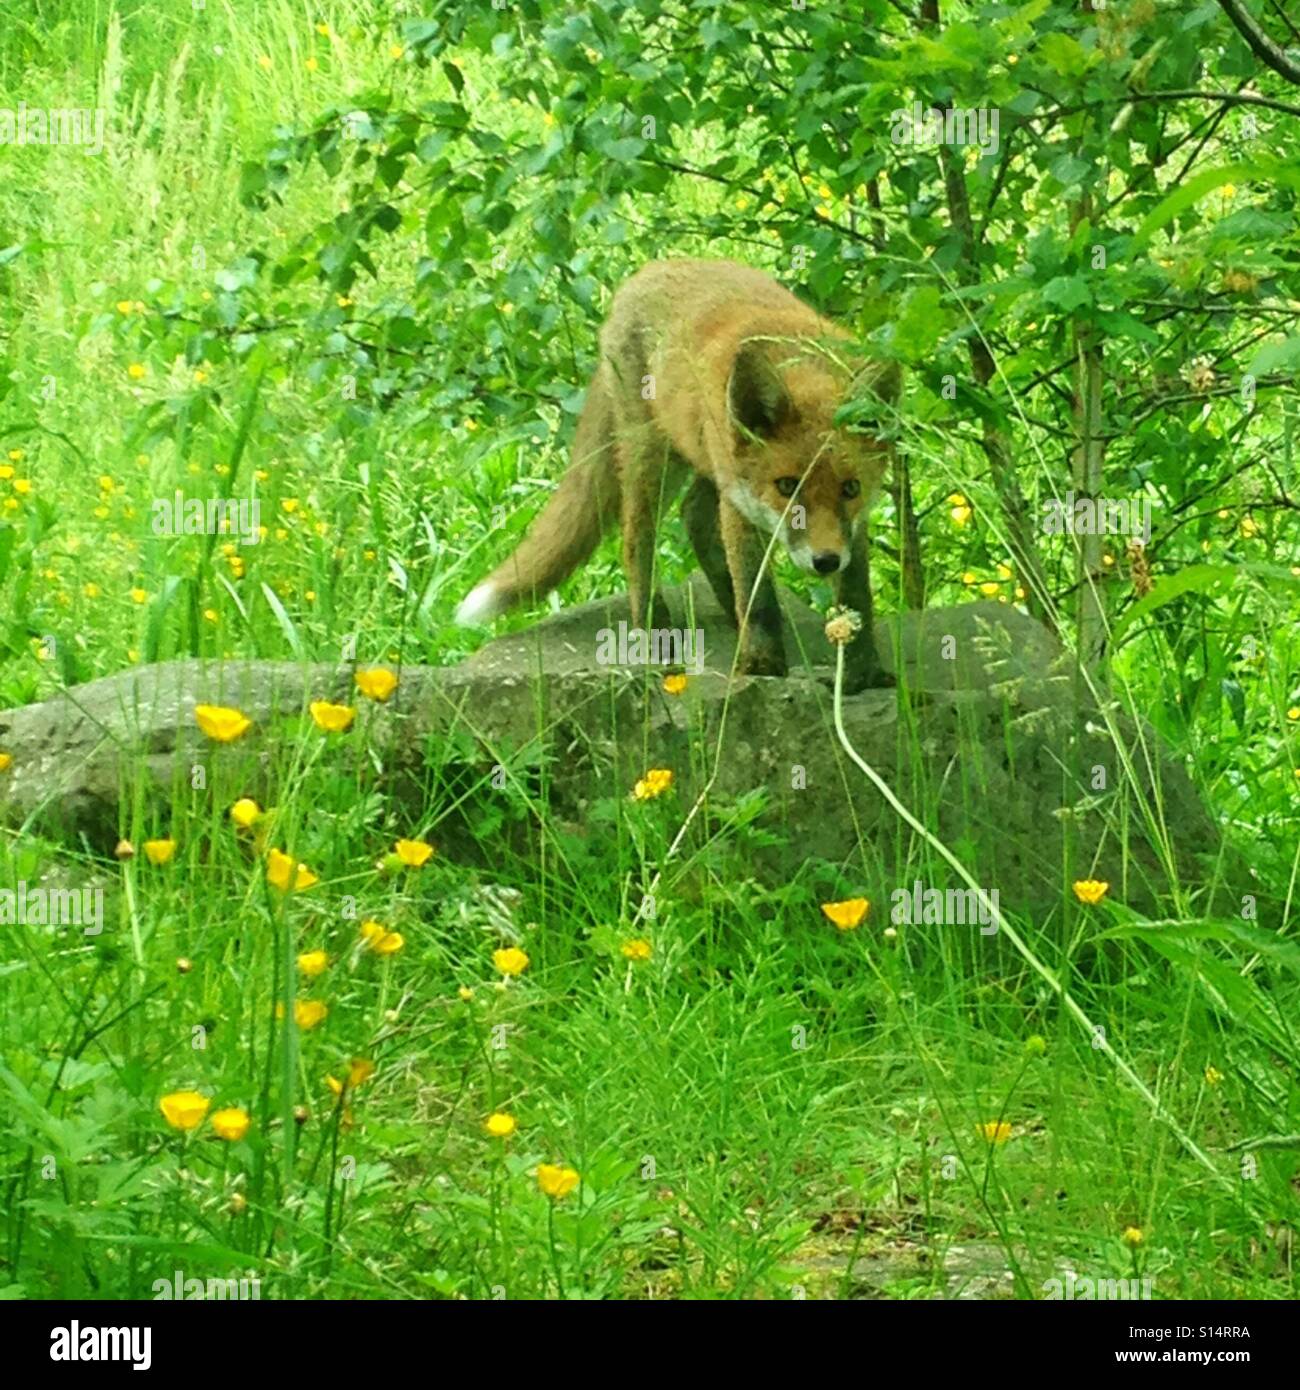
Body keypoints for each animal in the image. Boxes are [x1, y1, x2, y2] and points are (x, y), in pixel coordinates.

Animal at [456, 258, 900, 691]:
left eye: (851, 488)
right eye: (787, 486)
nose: (825, 561)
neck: (802, 365)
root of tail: (644, 272)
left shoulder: (848, 526)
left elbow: (857, 598)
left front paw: (864, 673)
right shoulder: (740, 504)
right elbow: (759, 600)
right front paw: (762, 665)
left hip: (703, 458)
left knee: (694, 515)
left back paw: (727, 608)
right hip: (653, 456)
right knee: (637, 538)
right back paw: (655, 629)